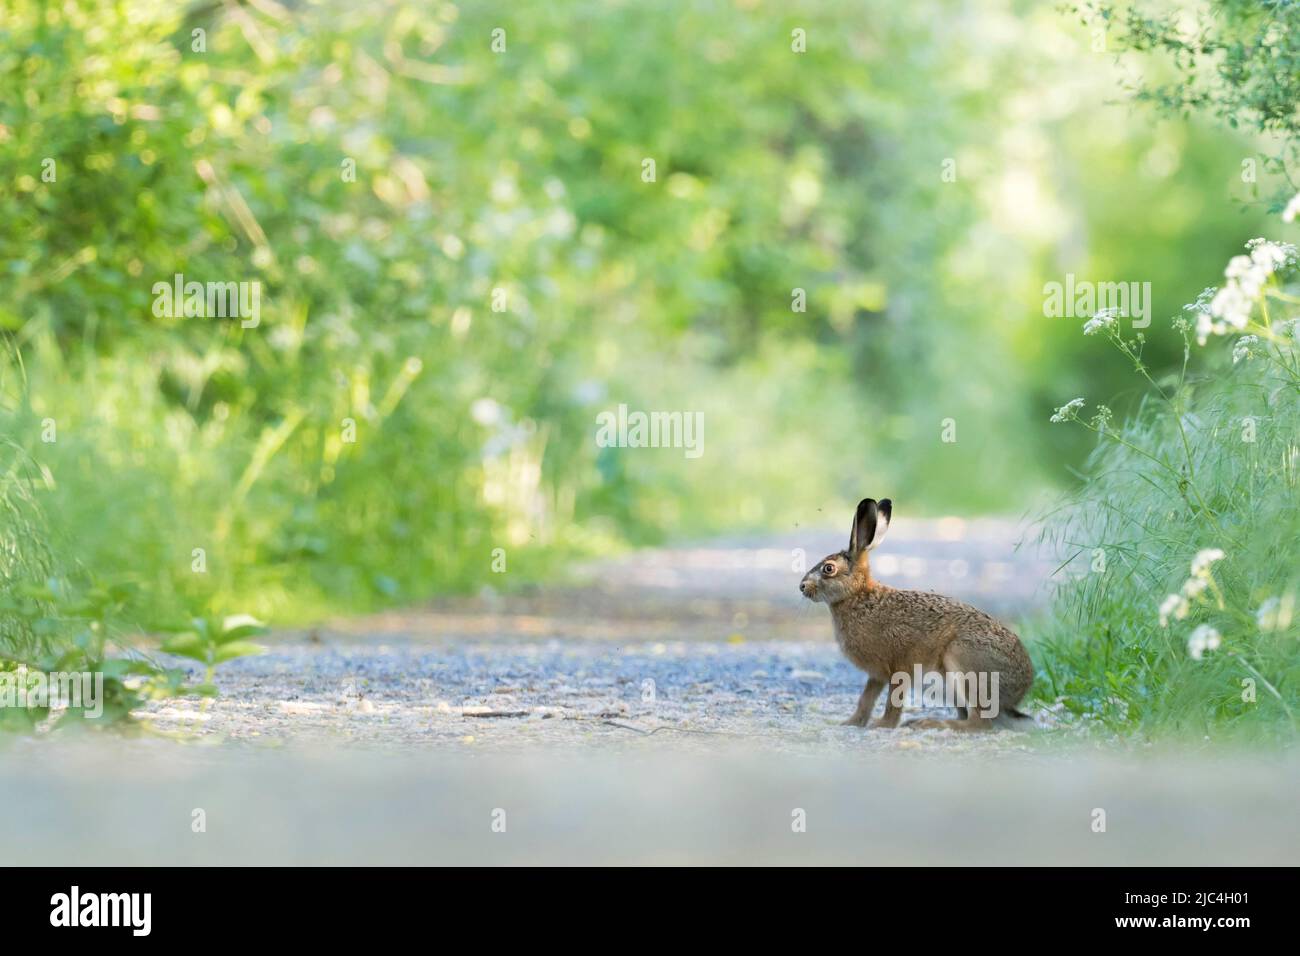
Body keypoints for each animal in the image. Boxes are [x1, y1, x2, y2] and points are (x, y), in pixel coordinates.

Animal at [799, 497, 1035, 731]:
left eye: (828, 569)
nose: (802, 586)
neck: (857, 596)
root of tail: (1019, 690)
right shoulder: (876, 674)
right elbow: (866, 699)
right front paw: (851, 722)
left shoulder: (899, 665)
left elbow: (893, 700)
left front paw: (883, 725)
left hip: (965, 663)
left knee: (979, 722)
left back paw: (930, 723)